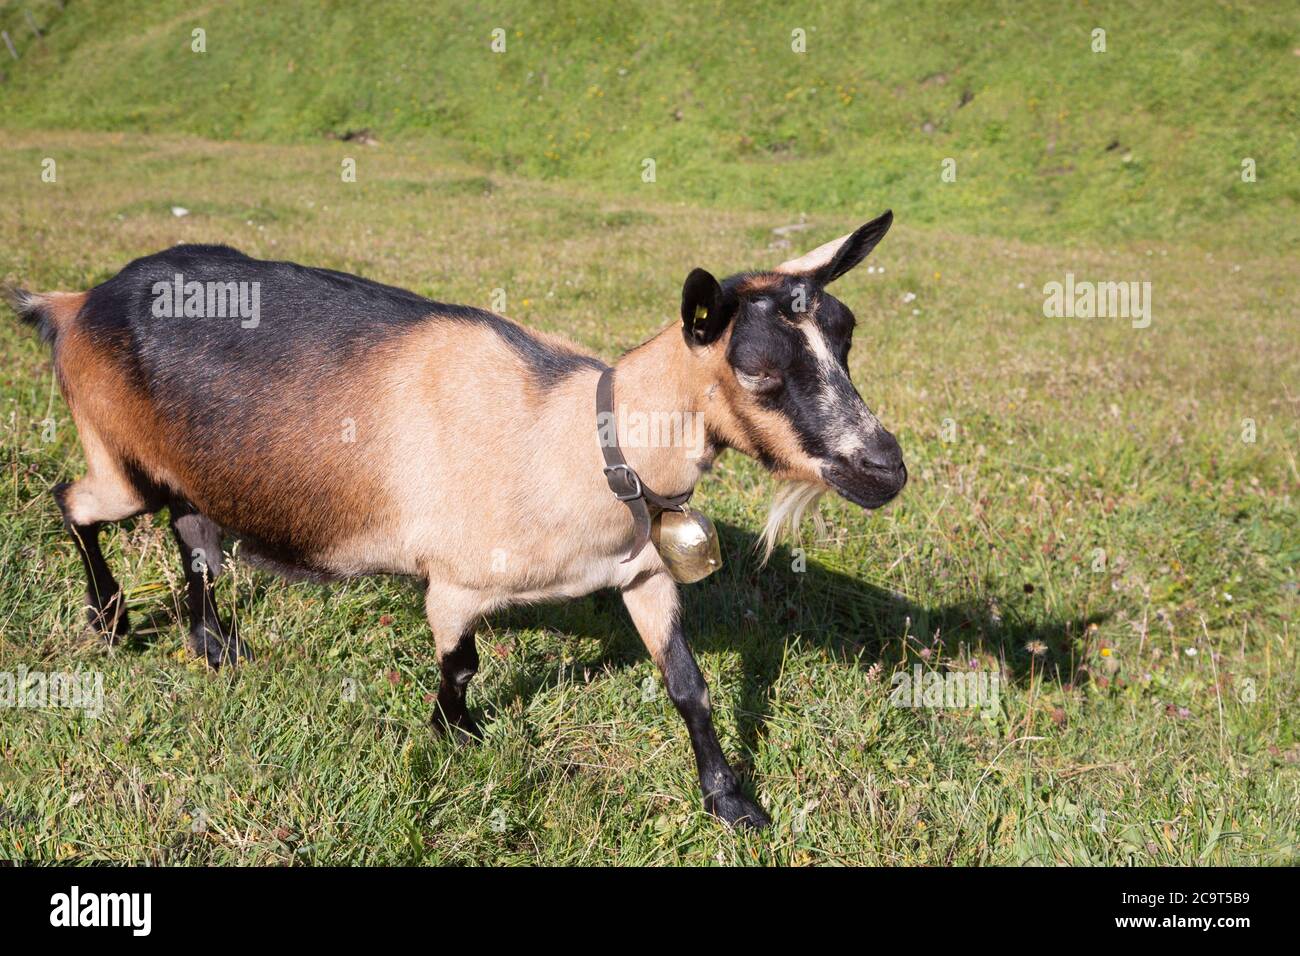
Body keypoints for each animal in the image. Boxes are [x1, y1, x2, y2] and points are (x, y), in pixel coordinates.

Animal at [7, 212, 905, 829]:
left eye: (846, 337)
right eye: (757, 373)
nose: (885, 468)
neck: (585, 439)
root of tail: (75, 303)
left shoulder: (645, 571)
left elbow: (688, 683)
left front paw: (732, 803)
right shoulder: (456, 581)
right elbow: (463, 663)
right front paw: (454, 737)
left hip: (196, 470)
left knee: (193, 536)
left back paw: (213, 645)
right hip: (116, 451)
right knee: (73, 500)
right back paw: (112, 620)